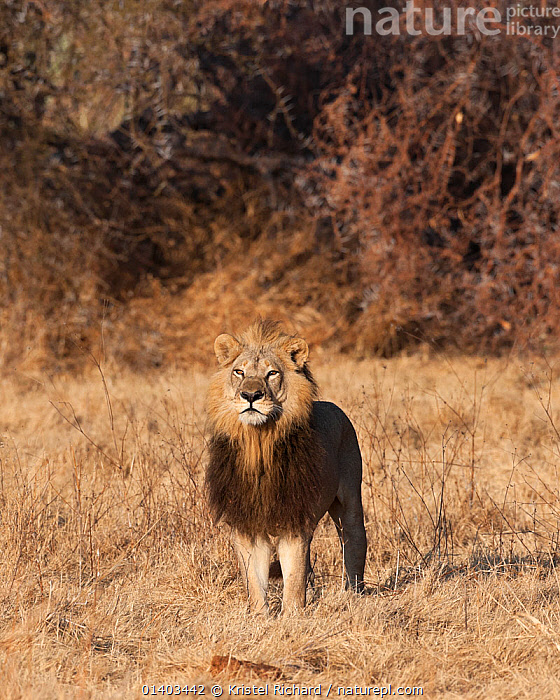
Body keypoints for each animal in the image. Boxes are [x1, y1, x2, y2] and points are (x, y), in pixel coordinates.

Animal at [206, 320, 367, 614]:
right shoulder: (246, 524)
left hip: (349, 499)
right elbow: (254, 581)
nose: (250, 395)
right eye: (239, 371)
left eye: (272, 373)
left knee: (354, 543)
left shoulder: (294, 522)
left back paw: (354, 595)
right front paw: (259, 617)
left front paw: (292, 616)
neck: (259, 444)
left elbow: (293, 579)